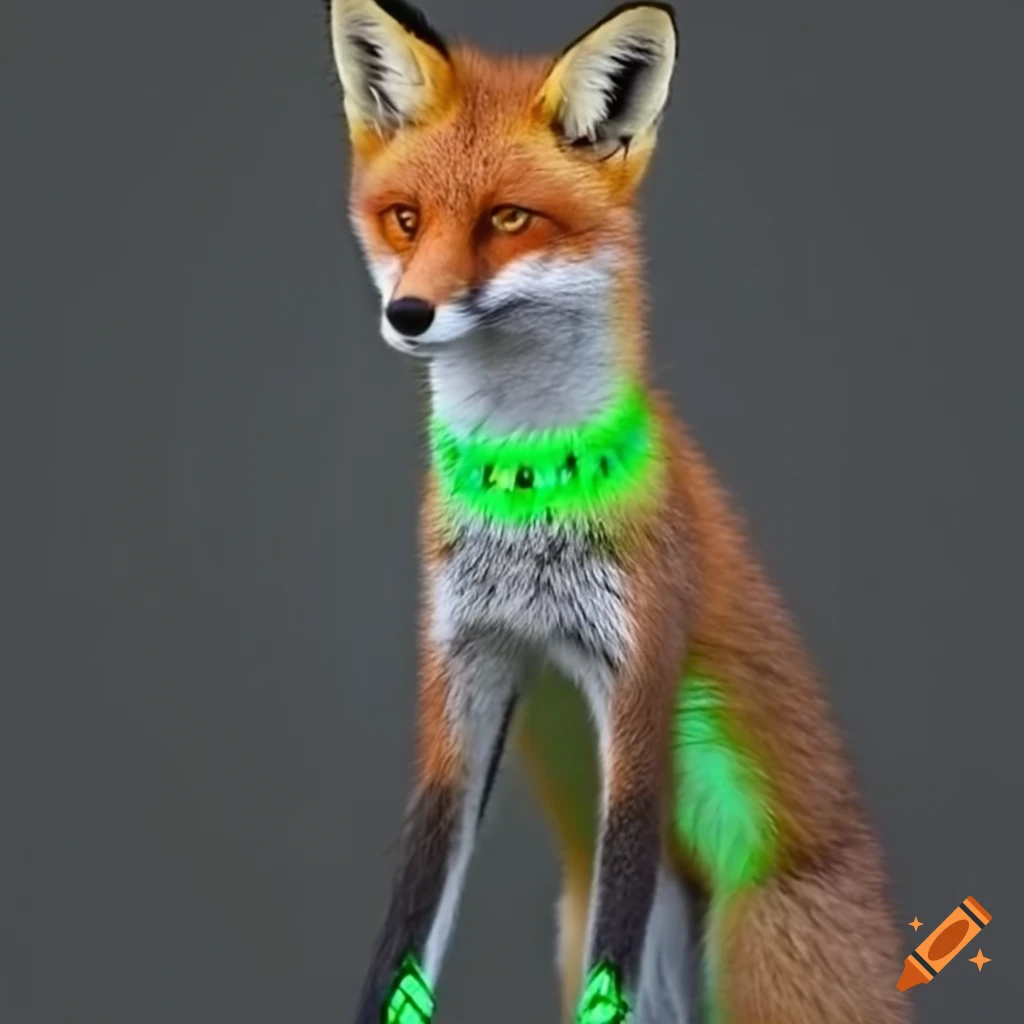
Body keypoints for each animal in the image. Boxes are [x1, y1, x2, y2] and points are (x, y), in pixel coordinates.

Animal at [325, 2, 910, 1022]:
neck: (529, 484)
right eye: (406, 219)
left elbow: (613, 965)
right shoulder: (461, 679)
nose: (409, 314)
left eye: (507, 218)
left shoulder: (637, 687)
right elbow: (404, 946)